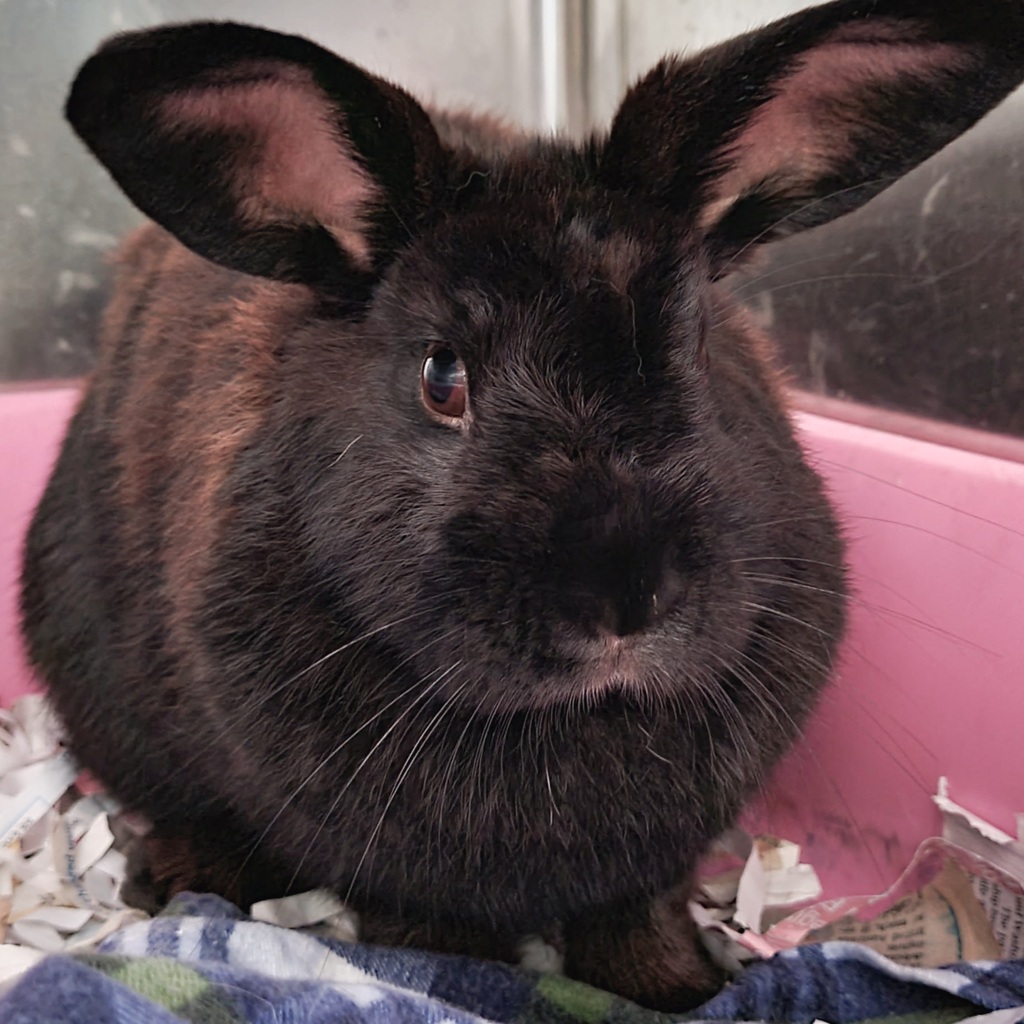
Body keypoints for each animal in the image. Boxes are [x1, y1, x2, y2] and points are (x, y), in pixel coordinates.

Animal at [19, 0, 1024, 1010]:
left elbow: (640, 922)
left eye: (701, 349)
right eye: (441, 376)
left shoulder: (651, 867)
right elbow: (439, 941)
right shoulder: (396, 872)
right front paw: (460, 988)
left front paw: (680, 991)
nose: (627, 597)